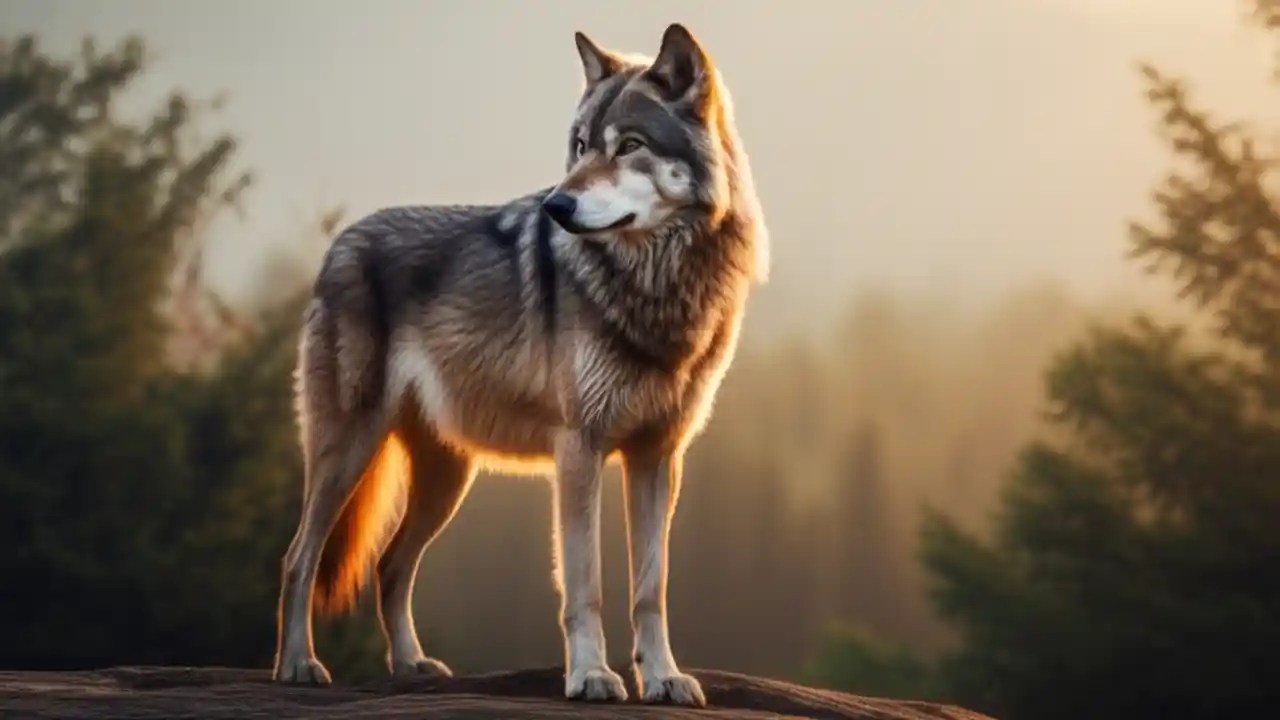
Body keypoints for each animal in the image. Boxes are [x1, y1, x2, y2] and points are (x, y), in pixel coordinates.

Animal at [272, 24, 768, 706]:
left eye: (629, 146)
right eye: (580, 147)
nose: (557, 206)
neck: (657, 284)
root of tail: (339, 243)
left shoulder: (658, 458)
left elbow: (650, 589)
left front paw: (664, 678)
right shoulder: (579, 449)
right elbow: (586, 584)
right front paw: (590, 675)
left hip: (447, 478)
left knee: (391, 563)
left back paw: (410, 665)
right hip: (348, 450)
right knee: (299, 558)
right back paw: (298, 665)